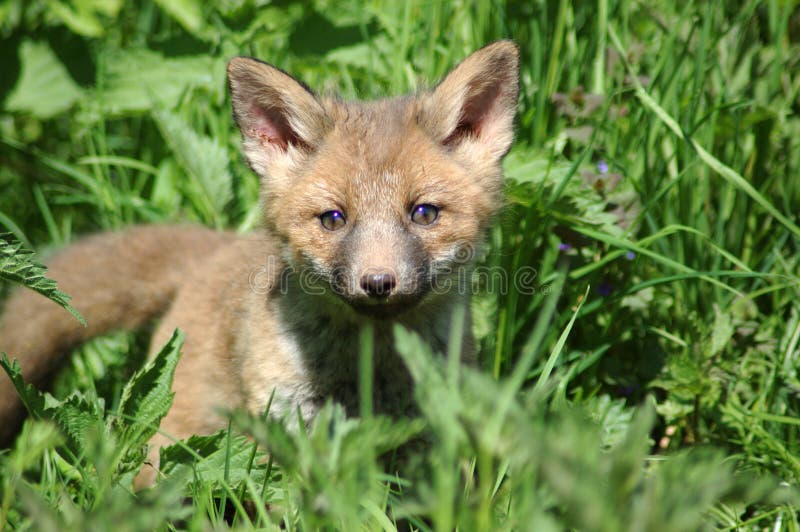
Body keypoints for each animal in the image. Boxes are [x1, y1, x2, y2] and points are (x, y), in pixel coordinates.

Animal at [0, 41, 519, 485]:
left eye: (424, 214)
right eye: (333, 219)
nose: (377, 282)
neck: (366, 370)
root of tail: (221, 247)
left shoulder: (426, 428)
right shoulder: (284, 425)